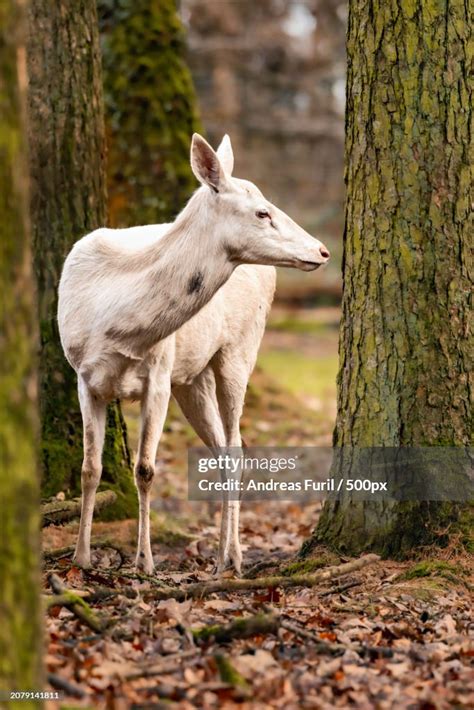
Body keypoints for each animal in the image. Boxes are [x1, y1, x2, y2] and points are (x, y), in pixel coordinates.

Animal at [58, 133, 330, 576]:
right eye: (262, 212)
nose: (322, 251)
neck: (114, 325)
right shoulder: (83, 376)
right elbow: (89, 468)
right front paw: (81, 559)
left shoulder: (158, 374)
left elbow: (145, 468)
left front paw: (145, 563)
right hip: (192, 379)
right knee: (220, 449)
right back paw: (221, 555)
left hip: (240, 349)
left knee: (236, 448)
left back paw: (232, 557)